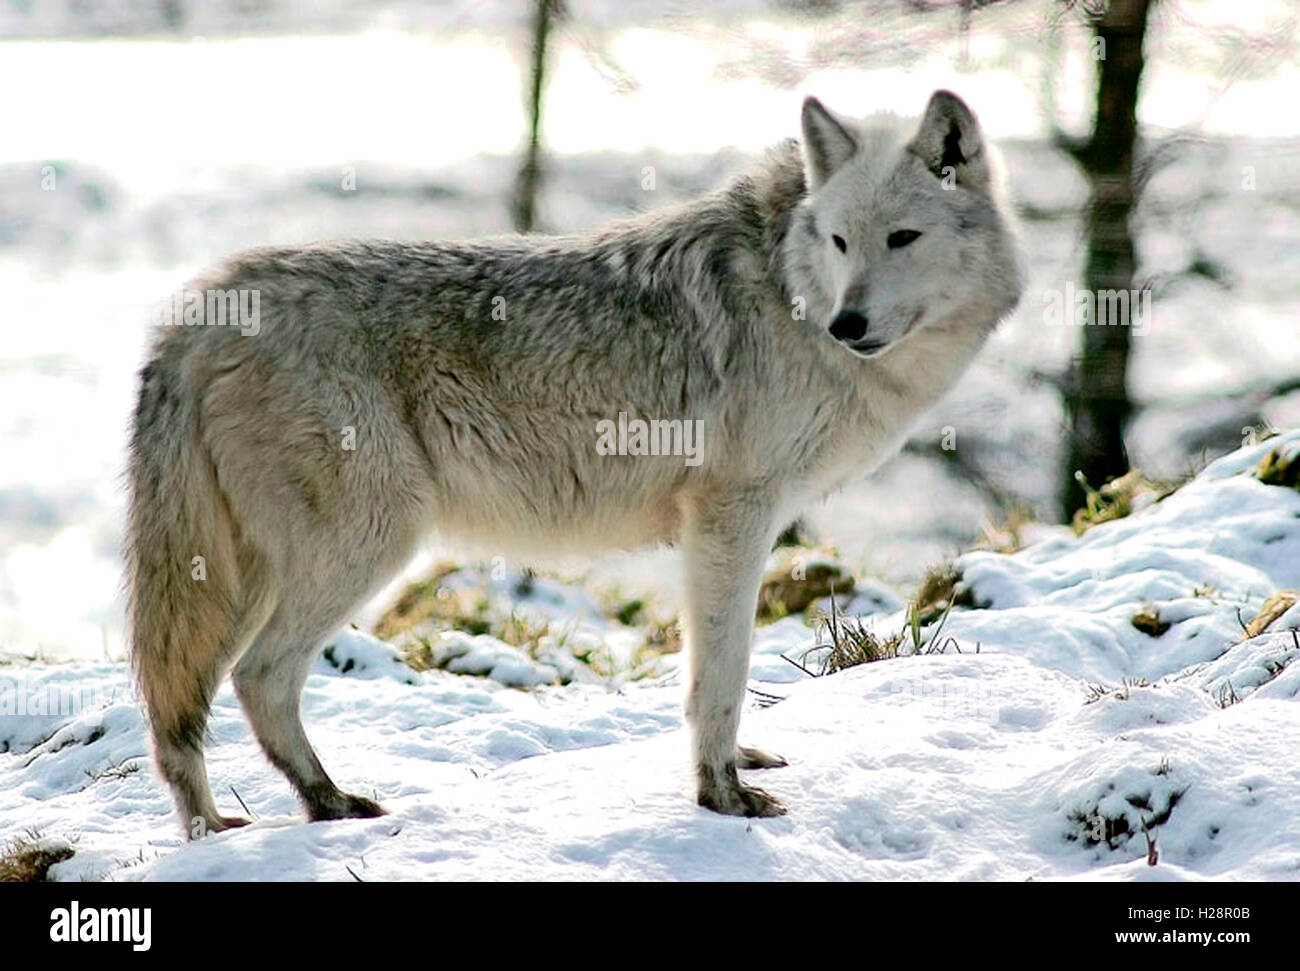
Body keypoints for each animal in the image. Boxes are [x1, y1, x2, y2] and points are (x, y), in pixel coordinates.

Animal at [128, 90, 1022, 833]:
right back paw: (329, 802)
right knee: (260, 677)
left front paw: (733, 765)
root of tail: (203, 305)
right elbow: (724, 671)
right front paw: (721, 795)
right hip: (365, 547)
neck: (786, 293)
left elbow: (704, 670)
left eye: (902, 238)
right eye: (840, 242)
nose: (848, 323)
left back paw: (215, 825)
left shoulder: (716, 531)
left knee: (183, 707)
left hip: (243, 577)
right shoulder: (734, 513)